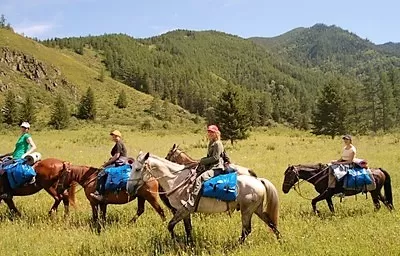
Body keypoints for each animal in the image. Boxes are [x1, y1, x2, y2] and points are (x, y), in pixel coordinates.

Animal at [126, 153, 280, 243]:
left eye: (138, 169)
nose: (129, 188)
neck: (175, 179)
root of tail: (258, 180)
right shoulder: (185, 212)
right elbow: (188, 229)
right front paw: (189, 244)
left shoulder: (183, 210)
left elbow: (170, 226)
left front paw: (176, 242)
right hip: (256, 210)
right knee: (271, 223)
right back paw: (280, 240)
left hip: (247, 211)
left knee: (246, 230)